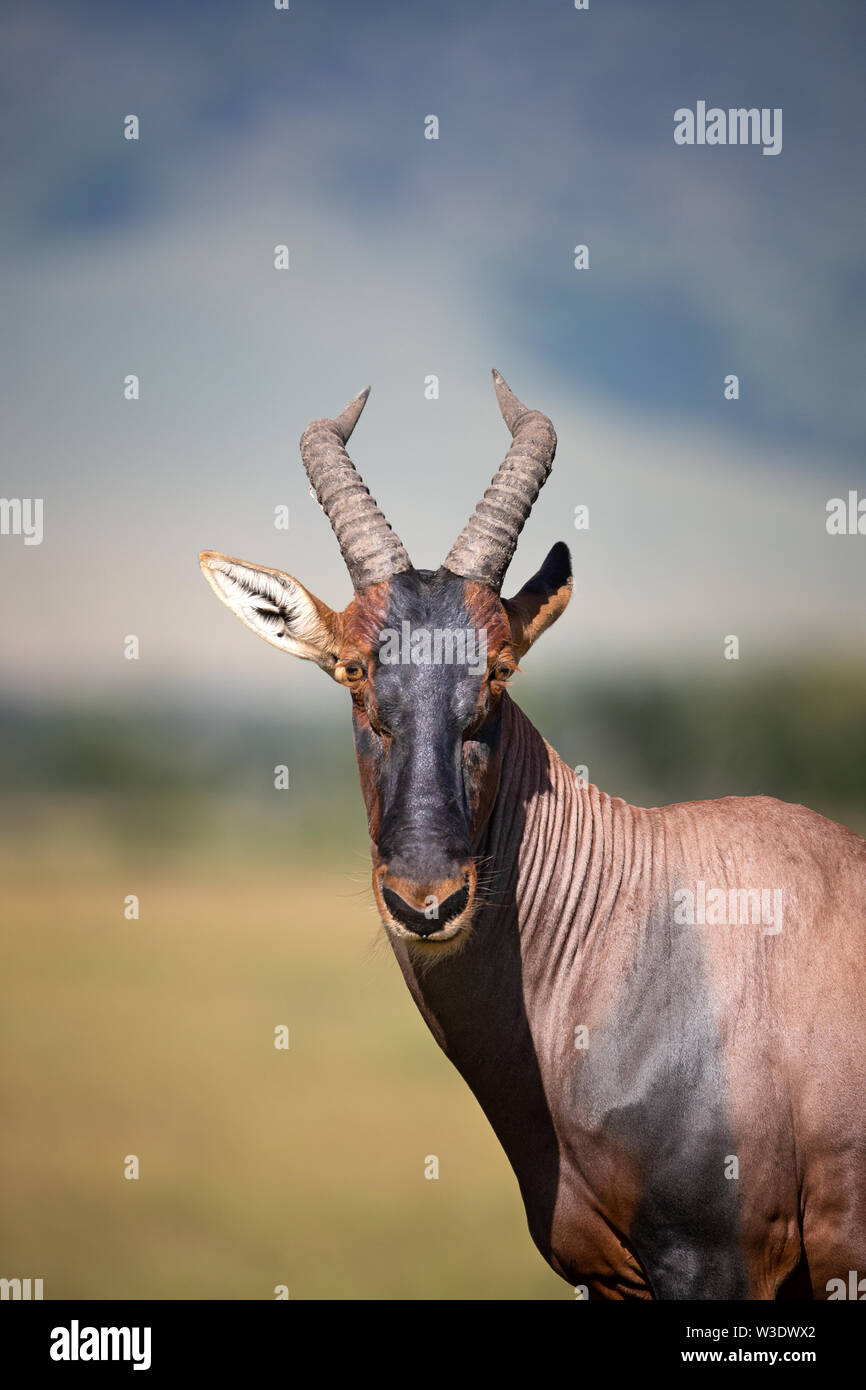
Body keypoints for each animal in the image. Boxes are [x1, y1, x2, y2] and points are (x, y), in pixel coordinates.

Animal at [200, 371, 866, 1299]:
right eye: (355, 668)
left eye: (499, 669)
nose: (426, 902)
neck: (640, 922)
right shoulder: (605, 1278)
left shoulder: (716, 1262)